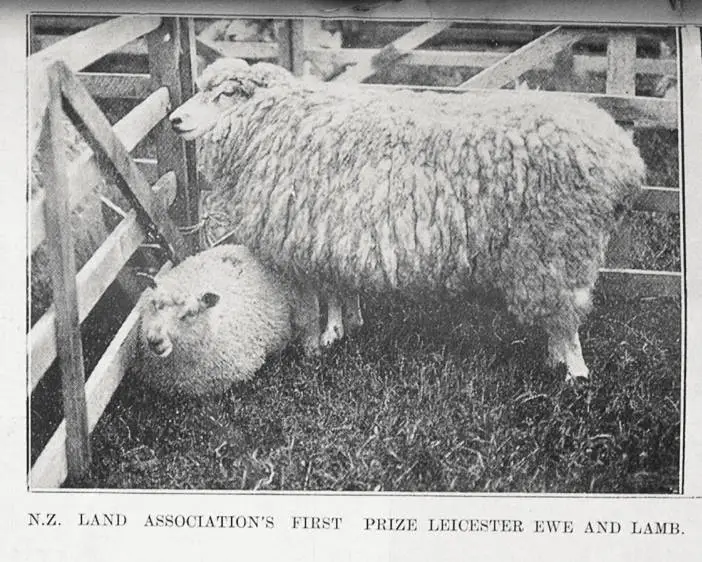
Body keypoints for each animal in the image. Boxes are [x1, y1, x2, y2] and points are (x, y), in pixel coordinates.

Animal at [170, 57, 646, 381]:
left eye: (225, 94)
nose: (174, 119)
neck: (282, 123)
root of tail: (624, 154)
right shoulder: (332, 232)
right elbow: (338, 288)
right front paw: (340, 330)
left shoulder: (305, 232)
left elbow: (316, 299)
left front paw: (316, 345)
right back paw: (554, 359)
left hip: (556, 242)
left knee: (566, 313)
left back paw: (574, 374)